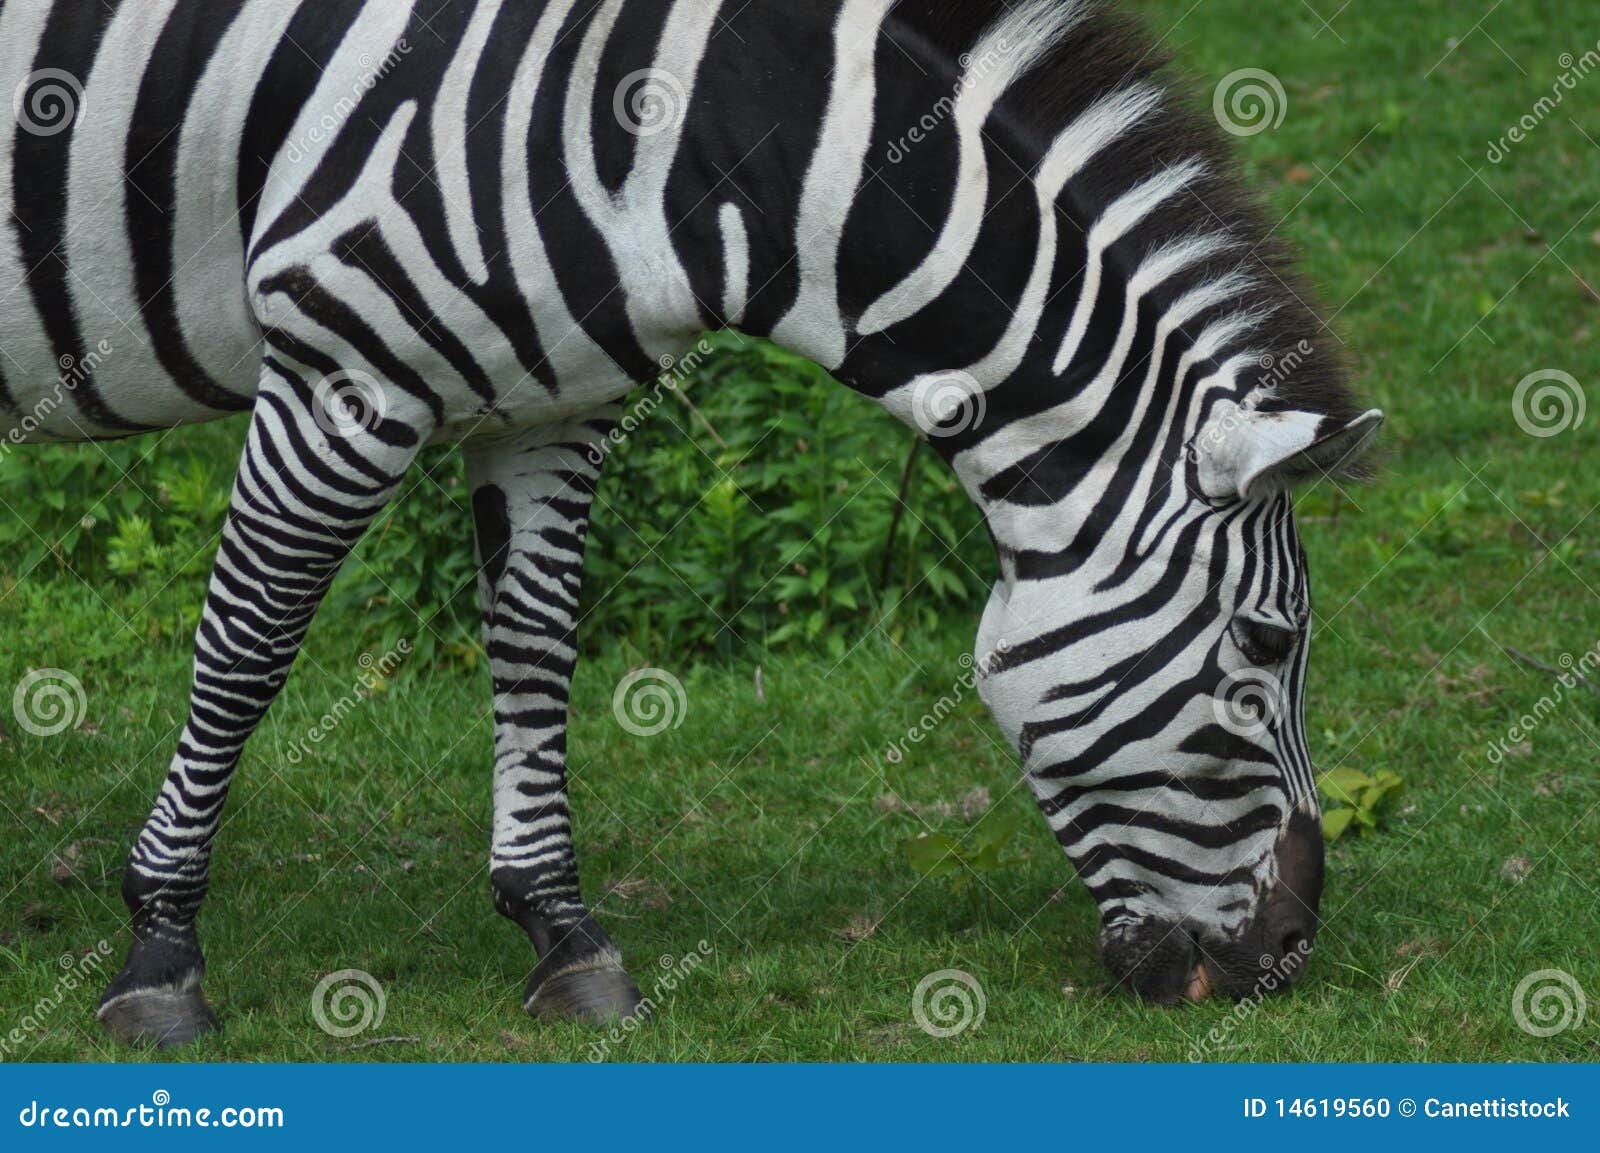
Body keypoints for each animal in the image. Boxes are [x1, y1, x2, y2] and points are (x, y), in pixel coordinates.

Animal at [2, 0, 1382, 1045]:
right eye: (1265, 644)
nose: (1290, 952)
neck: (684, 124)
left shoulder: (553, 405)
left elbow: (536, 653)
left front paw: (563, 933)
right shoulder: (345, 373)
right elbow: (247, 651)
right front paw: (160, 952)